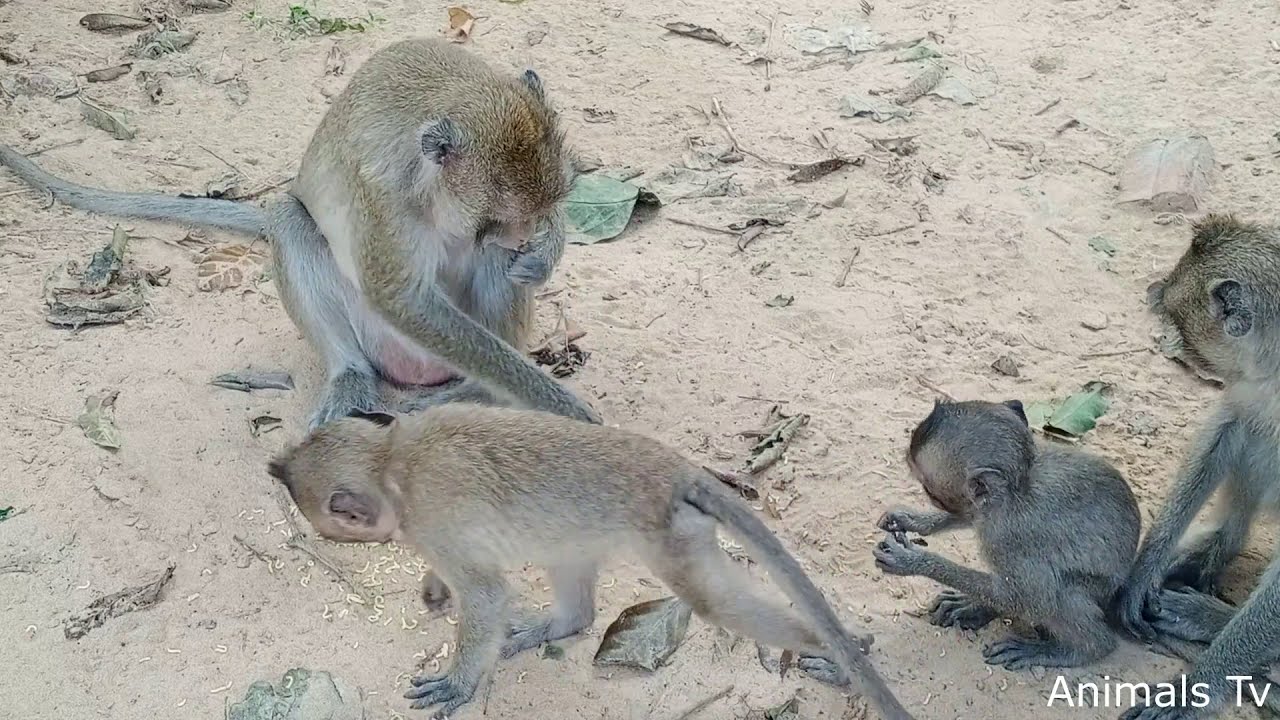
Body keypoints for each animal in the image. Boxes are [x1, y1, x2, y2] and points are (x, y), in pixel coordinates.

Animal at [0, 38, 599, 430]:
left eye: (552, 202)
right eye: (492, 220)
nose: (518, 236)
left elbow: (515, 260)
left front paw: (544, 250)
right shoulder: (383, 199)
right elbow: (399, 298)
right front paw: (566, 407)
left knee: (496, 270)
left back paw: (475, 386)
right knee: (290, 219)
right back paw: (357, 376)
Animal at [265, 404, 916, 720]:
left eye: (324, 524)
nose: (330, 537)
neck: (392, 458)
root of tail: (677, 472)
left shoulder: (434, 521)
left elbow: (486, 596)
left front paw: (458, 682)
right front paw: (434, 590)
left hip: (674, 539)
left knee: (715, 603)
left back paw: (839, 649)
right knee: (568, 563)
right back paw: (562, 625)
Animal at [811, 399, 1141, 677]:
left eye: (931, 492)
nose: (931, 501)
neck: (1017, 487)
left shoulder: (1008, 537)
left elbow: (1033, 599)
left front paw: (916, 562)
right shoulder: (982, 510)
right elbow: (969, 515)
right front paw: (910, 520)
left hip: (1095, 590)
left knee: (1058, 595)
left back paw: (1081, 648)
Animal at [1109, 214, 1280, 720]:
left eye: (1179, 323)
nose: (1151, 294)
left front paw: (1192, 690)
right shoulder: (1253, 382)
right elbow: (1228, 425)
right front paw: (1143, 569)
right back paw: (1214, 547)